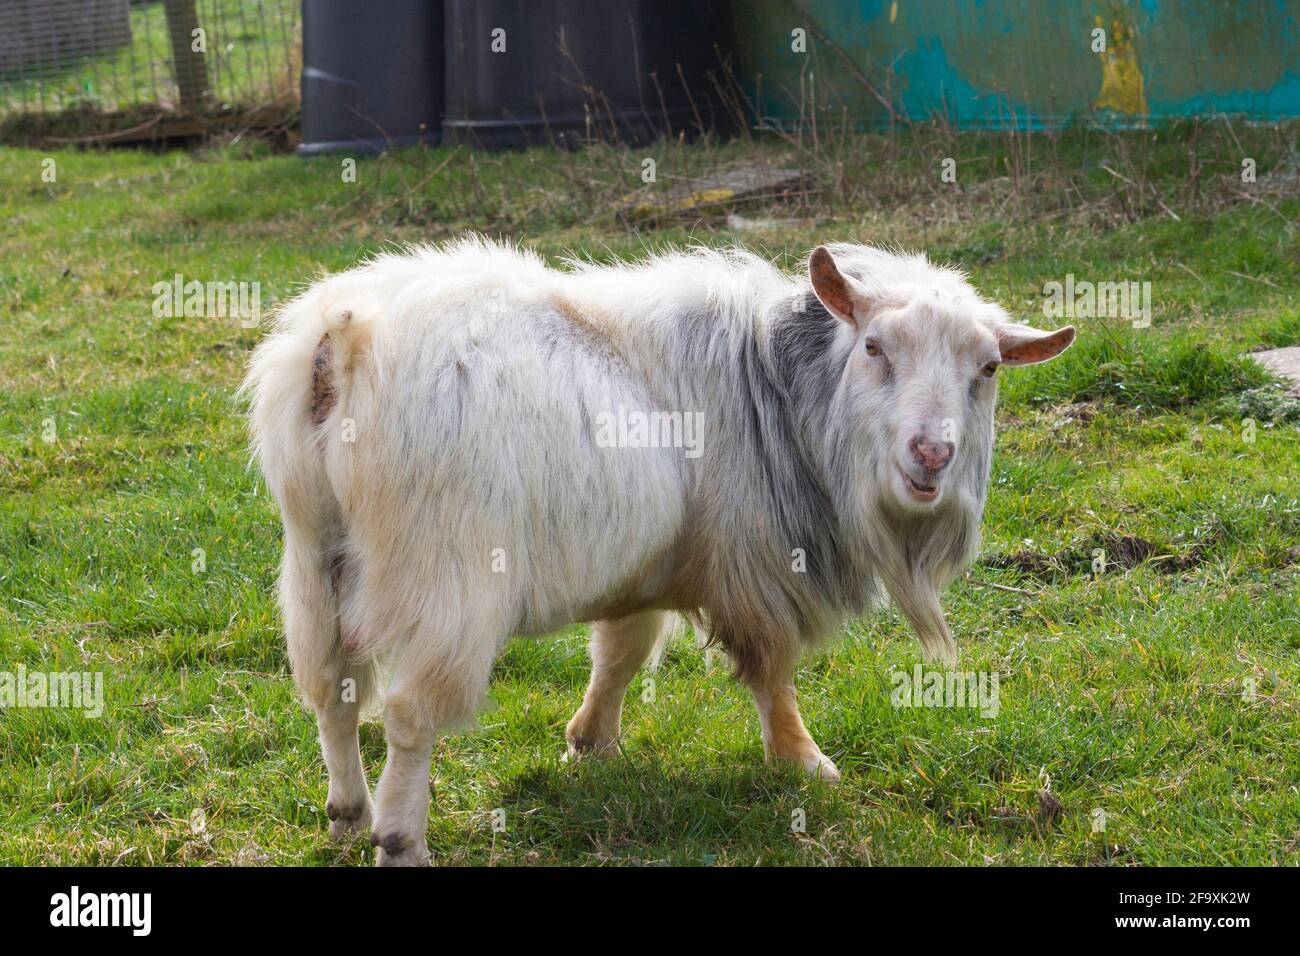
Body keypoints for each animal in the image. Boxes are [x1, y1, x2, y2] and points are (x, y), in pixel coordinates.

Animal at [243, 237, 1075, 865]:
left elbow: (621, 651)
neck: (772, 384)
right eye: (874, 346)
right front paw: (804, 761)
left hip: (315, 560)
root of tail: (343, 338)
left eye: (987, 370)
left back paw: (347, 812)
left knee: (331, 691)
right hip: (448, 583)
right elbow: (772, 671)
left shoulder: (647, 566)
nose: (932, 453)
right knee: (409, 716)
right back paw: (399, 838)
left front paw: (592, 742)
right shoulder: (756, 567)